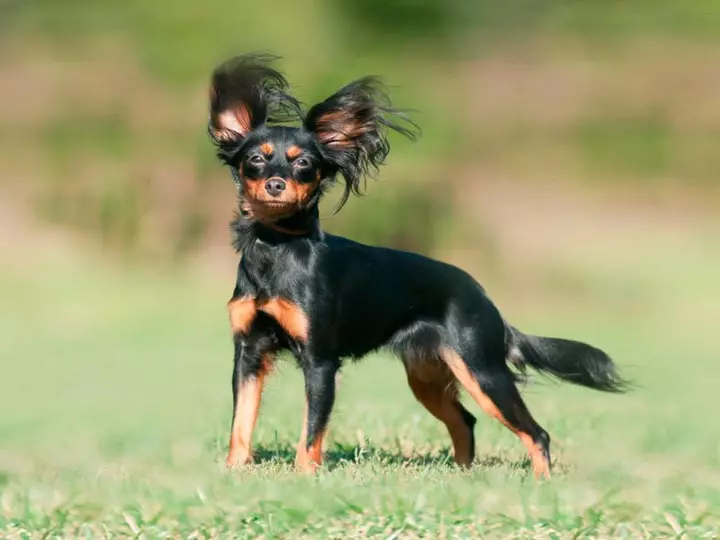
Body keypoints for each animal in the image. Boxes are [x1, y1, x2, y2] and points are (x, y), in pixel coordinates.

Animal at [207, 53, 624, 476]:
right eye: (255, 159)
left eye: (304, 163)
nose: (276, 184)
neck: (276, 247)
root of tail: (484, 298)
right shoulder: (249, 353)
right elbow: (241, 422)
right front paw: (234, 470)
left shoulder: (320, 361)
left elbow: (311, 431)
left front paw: (304, 476)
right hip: (428, 376)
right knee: (465, 420)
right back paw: (462, 475)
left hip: (481, 371)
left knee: (536, 433)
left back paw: (539, 482)